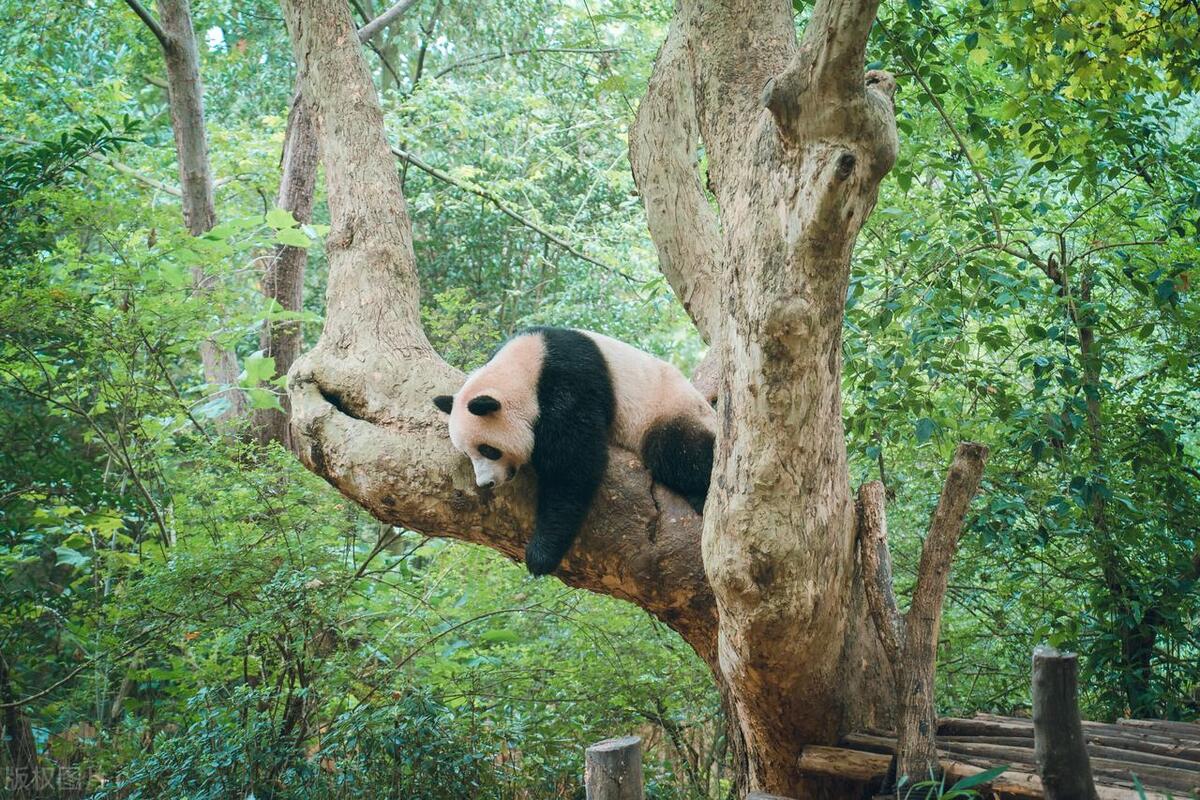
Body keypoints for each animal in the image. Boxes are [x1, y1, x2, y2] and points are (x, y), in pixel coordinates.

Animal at [433, 327, 715, 576]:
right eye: (468, 454)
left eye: (489, 450)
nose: (486, 483)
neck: (526, 363)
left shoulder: (569, 383)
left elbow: (573, 465)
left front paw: (540, 555)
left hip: (670, 411)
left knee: (678, 452)